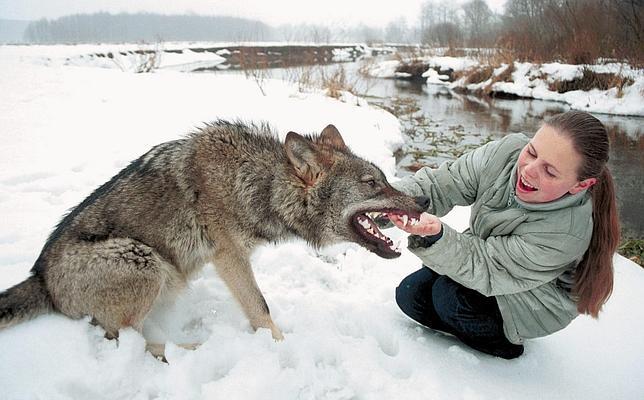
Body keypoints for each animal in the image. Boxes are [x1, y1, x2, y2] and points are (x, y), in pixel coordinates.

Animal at [0, 120, 427, 356]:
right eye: (371, 183)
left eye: (385, 179)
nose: (423, 201)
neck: (258, 184)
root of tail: (40, 279)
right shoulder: (229, 256)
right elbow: (261, 309)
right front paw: (279, 348)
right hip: (144, 260)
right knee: (130, 341)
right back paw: (188, 350)